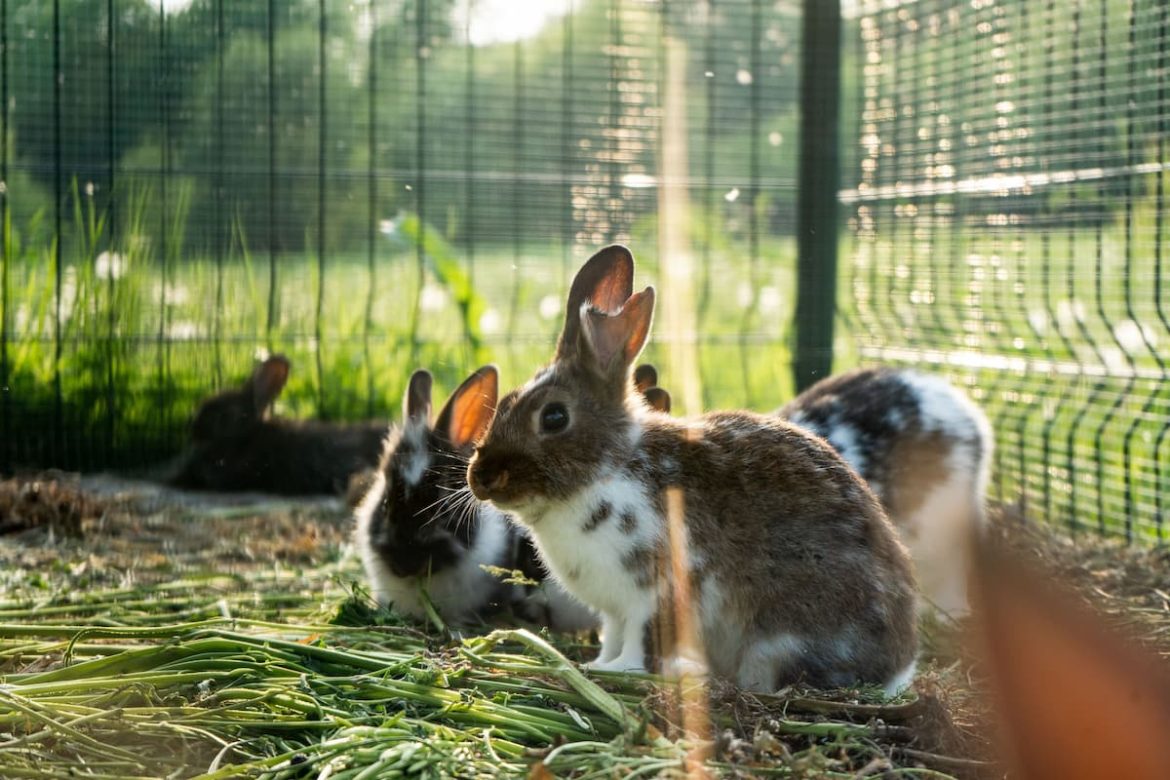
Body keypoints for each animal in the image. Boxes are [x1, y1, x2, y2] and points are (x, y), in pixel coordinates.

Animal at [466, 245, 918, 694]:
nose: (481, 478)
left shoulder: (656, 591)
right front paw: (599, 664)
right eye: (504, 403)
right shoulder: (615, 609)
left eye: (554, 417)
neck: (608, 468)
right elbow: (613, 635)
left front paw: (622, 672)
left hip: (780, 640)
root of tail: (900, 667)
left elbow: (641, 640)